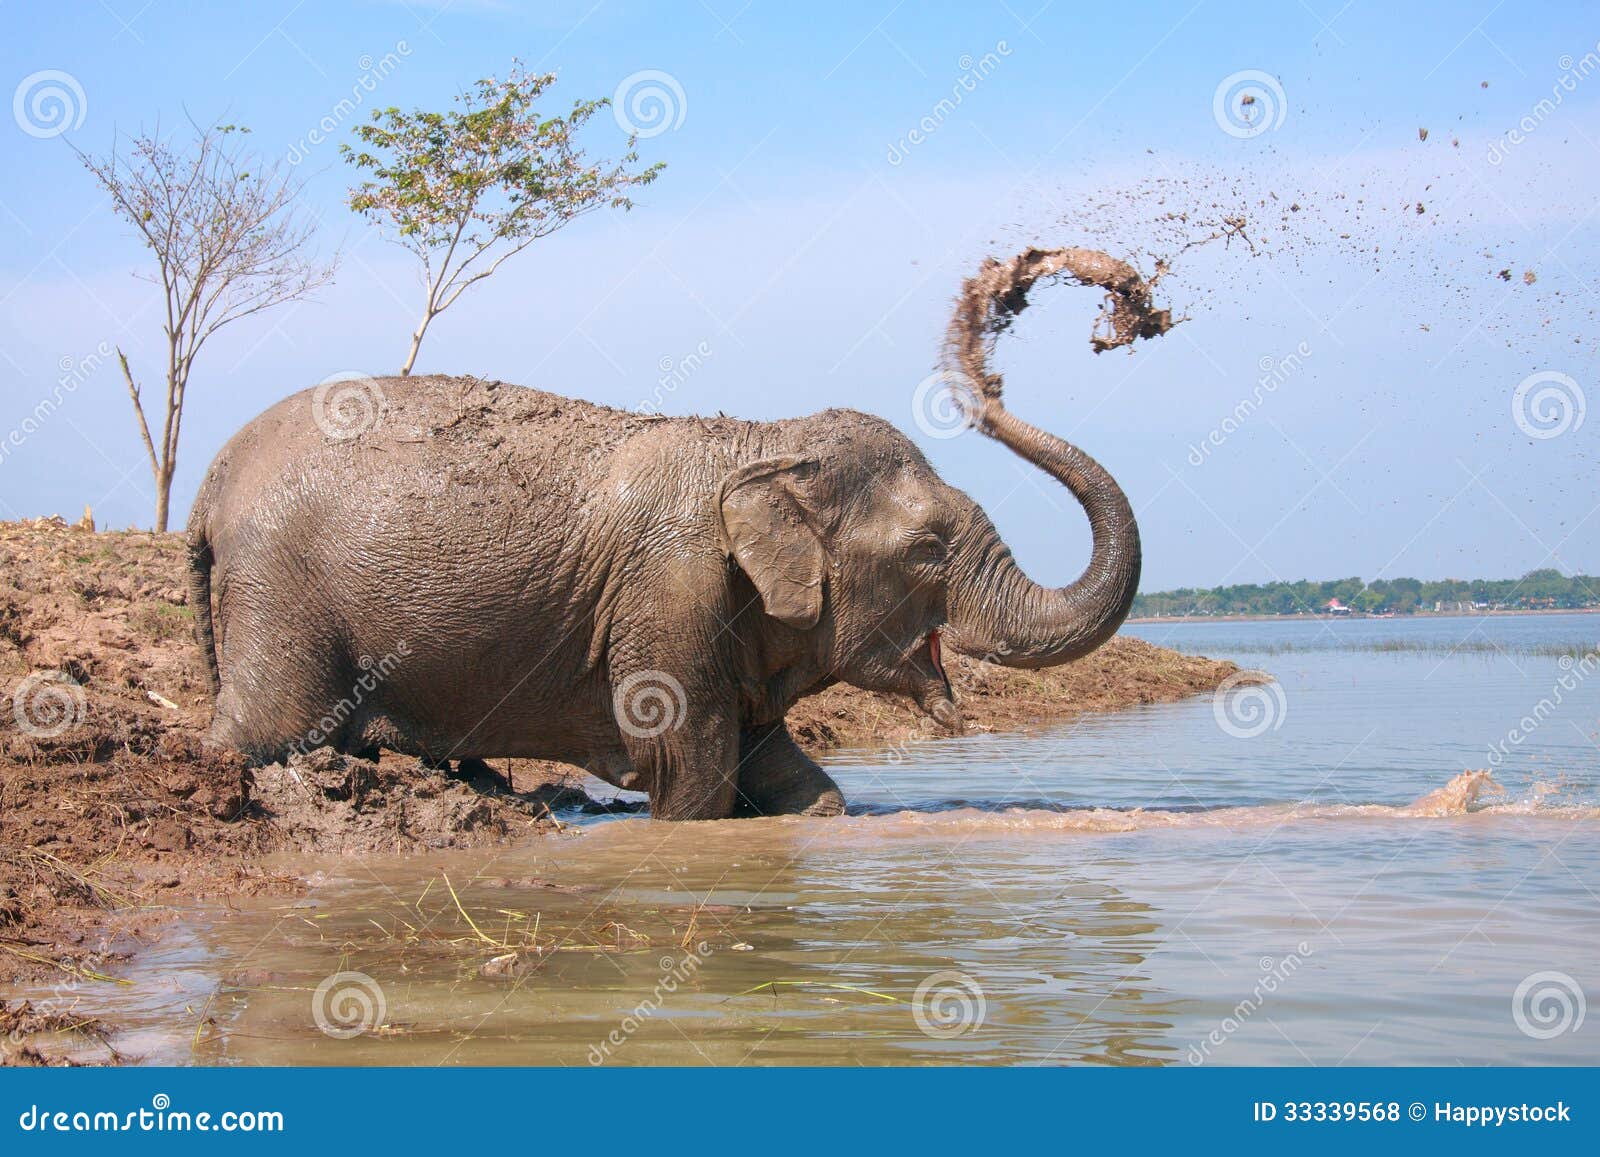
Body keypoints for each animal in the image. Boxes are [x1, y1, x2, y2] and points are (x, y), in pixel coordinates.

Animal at [187, 366, 1139, 821]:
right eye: (927, 551)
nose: (986, 384)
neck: (762, 441)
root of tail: (209, 483)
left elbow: (784, 775)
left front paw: (813, 811)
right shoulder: (669, 585)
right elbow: (692, 772)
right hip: (280, 591)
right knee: (264, 730)